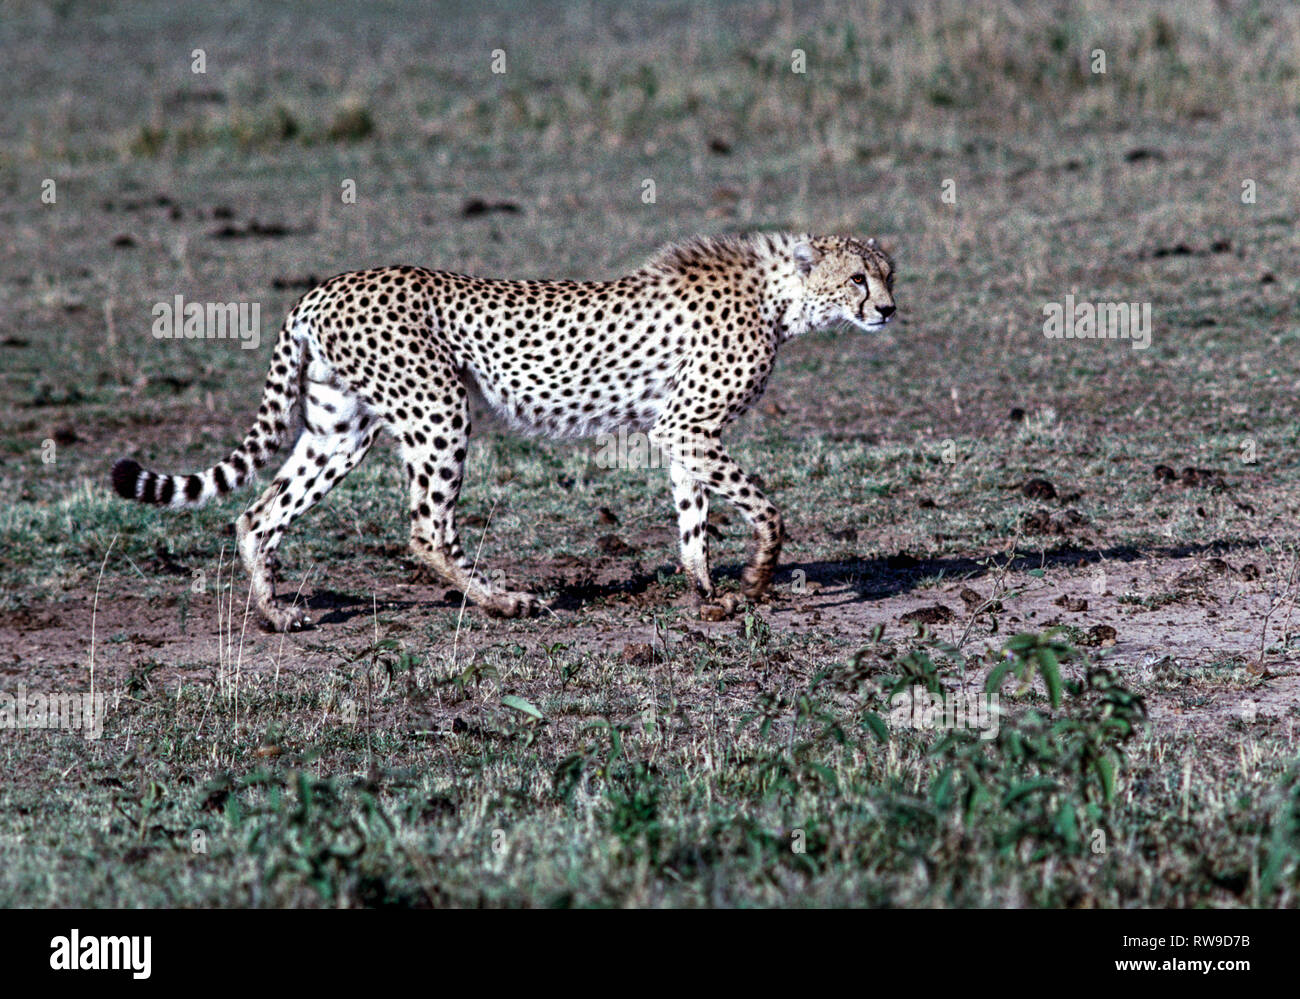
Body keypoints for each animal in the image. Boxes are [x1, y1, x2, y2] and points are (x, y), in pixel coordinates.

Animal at [110, 231, 897, 631]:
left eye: (891, 273)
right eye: (858, 278)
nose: (888, 310)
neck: (780, 295)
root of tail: (325, 287)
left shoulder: (680, 432)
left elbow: (693, 519)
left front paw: (707, 595)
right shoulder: (689, 424)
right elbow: (766, 508)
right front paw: (759, 575)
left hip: (340, 429)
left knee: (259, 512)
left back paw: (275, 612)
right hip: (437, 411)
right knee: (426, 531)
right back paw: (504, 601)